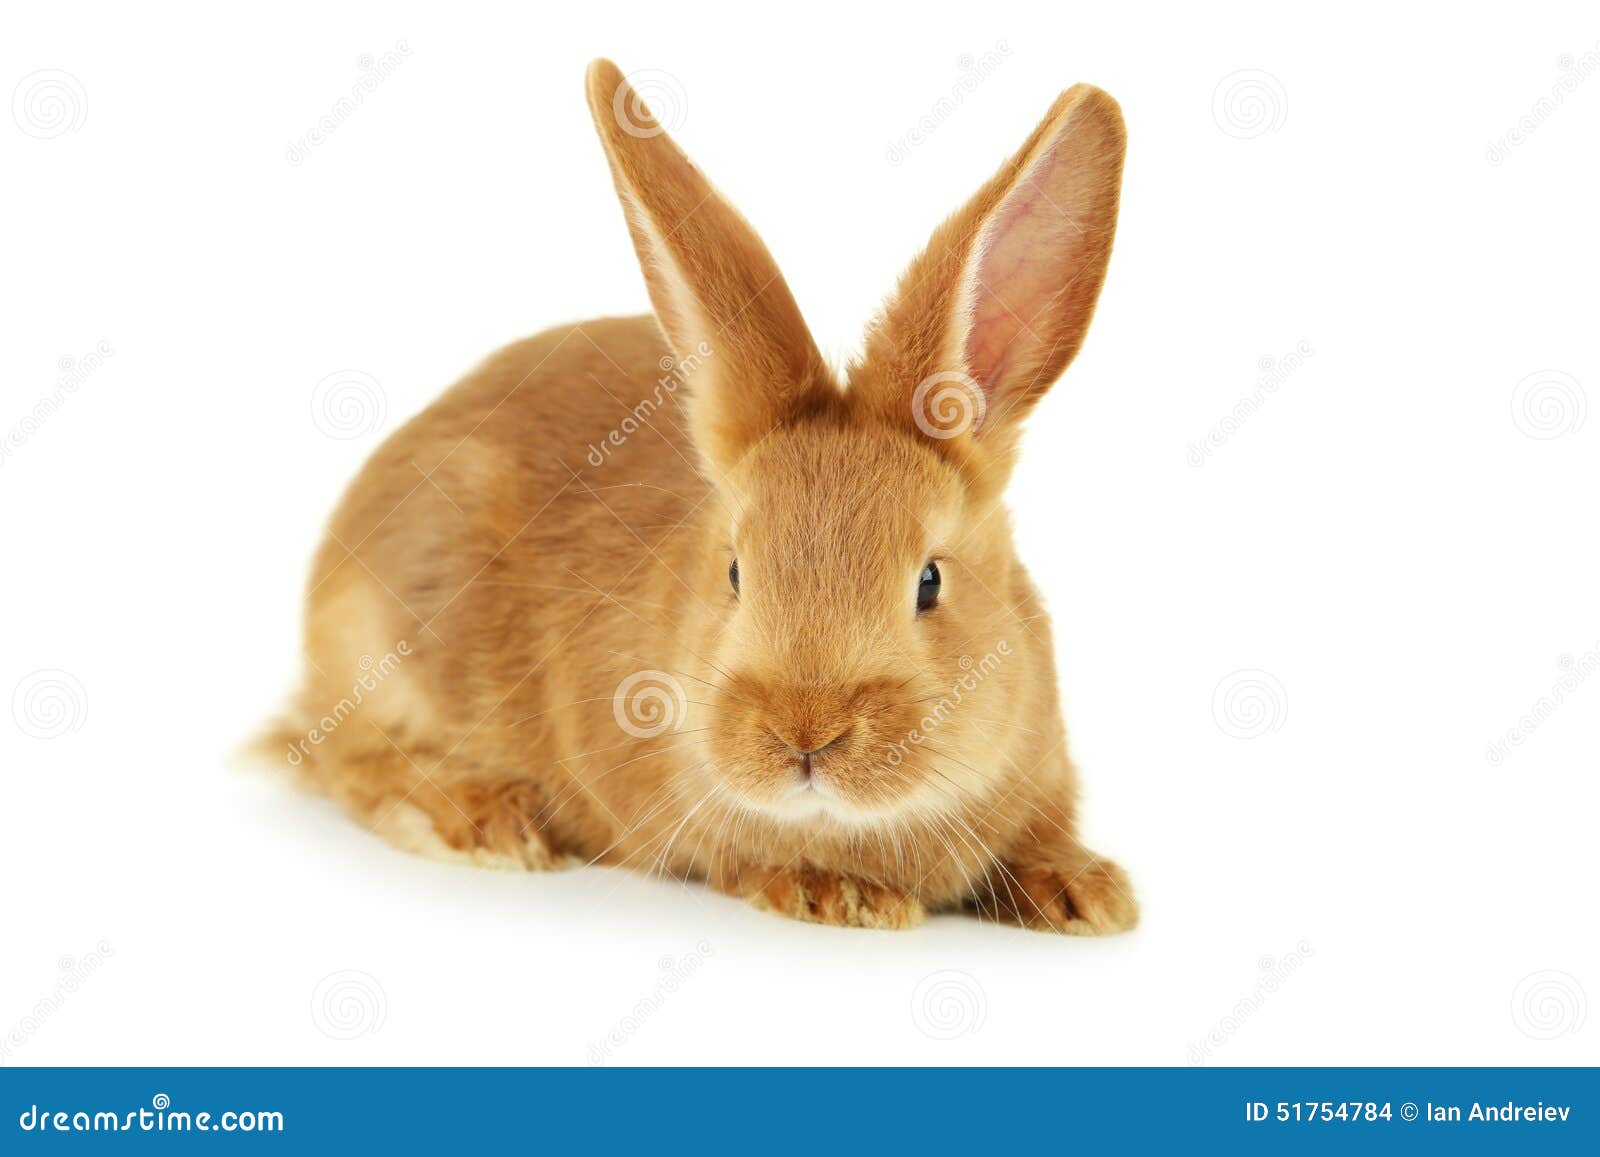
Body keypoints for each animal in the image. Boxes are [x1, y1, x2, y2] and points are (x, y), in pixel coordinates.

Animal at [257, 58, 1136, 934]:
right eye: (736, 572)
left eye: (930, 581)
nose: (804, 734)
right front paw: (841, 893)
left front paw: (1088, 892)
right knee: (347, 758)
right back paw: (488, 821)